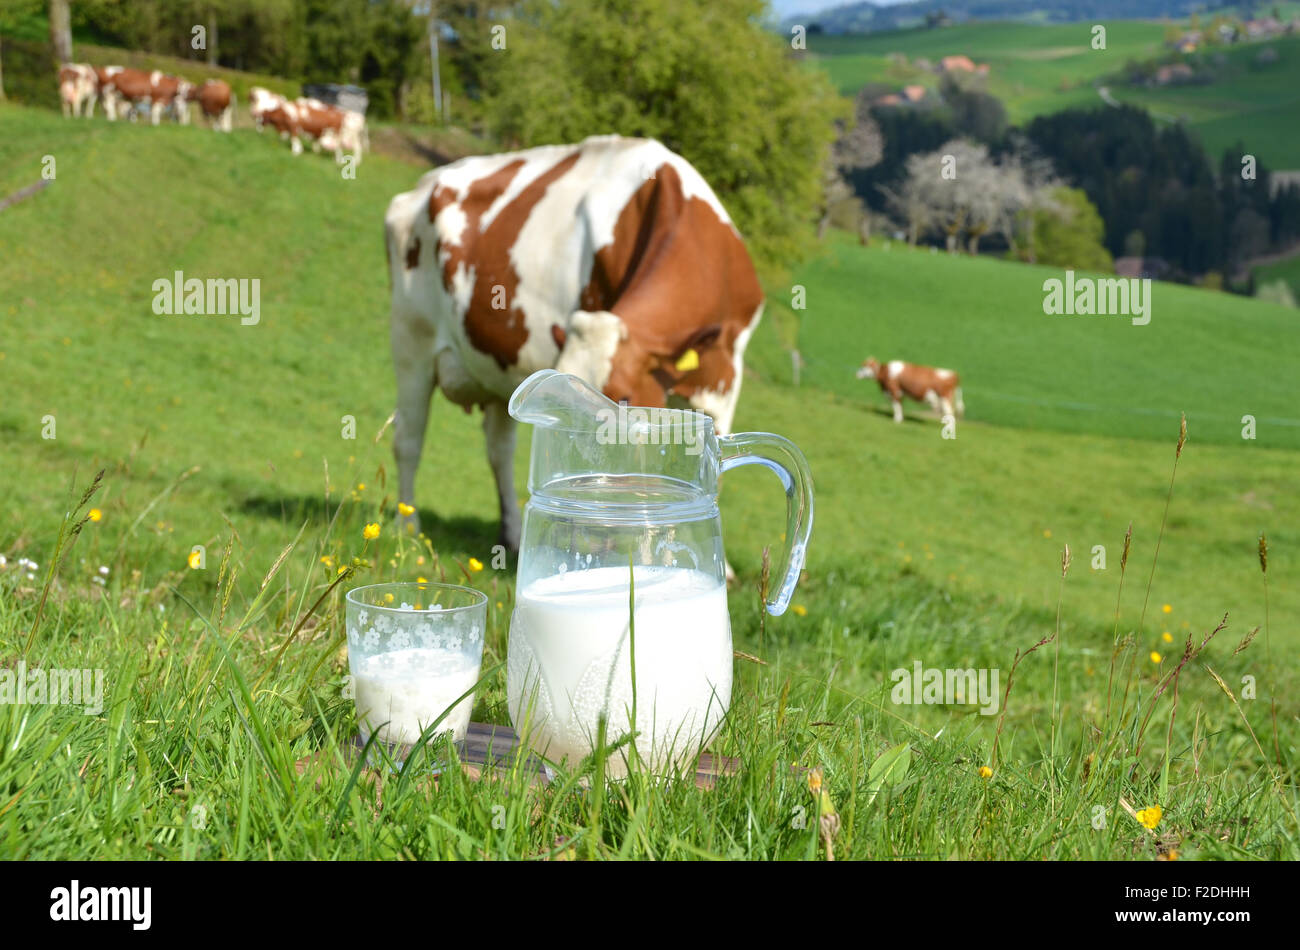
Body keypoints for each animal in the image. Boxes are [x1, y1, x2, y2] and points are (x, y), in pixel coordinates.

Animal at [384, 135, 765, 551]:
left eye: (625, 398)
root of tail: (423, 184)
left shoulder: (726, 375)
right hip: (410, 341)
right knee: (408, 439)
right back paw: (407, 528)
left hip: (496, 370)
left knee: (499, 450)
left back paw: (513, 535)